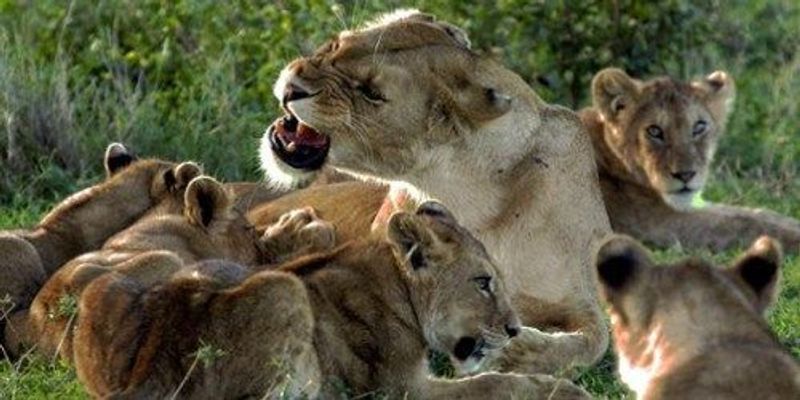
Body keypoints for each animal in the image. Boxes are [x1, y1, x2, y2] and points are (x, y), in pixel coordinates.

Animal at [71, 200, 590, 399]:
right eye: (483, 282)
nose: (514, 329)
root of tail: (147, 370)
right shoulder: (399, 391)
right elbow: (497, 383)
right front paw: (567, 391)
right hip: (282, 289)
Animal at [257, 9, 612, 376]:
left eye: (372, 93)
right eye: (334, 46)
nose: (292, 87)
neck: (467, 194)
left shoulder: (581, 298)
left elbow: (596, 340)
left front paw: (515, 352)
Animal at [580, 68, 800, 252]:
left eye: (699, 127)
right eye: (654, 131)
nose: (685, 175)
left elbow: (751, 212)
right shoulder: (656, 225)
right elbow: (740, 223)